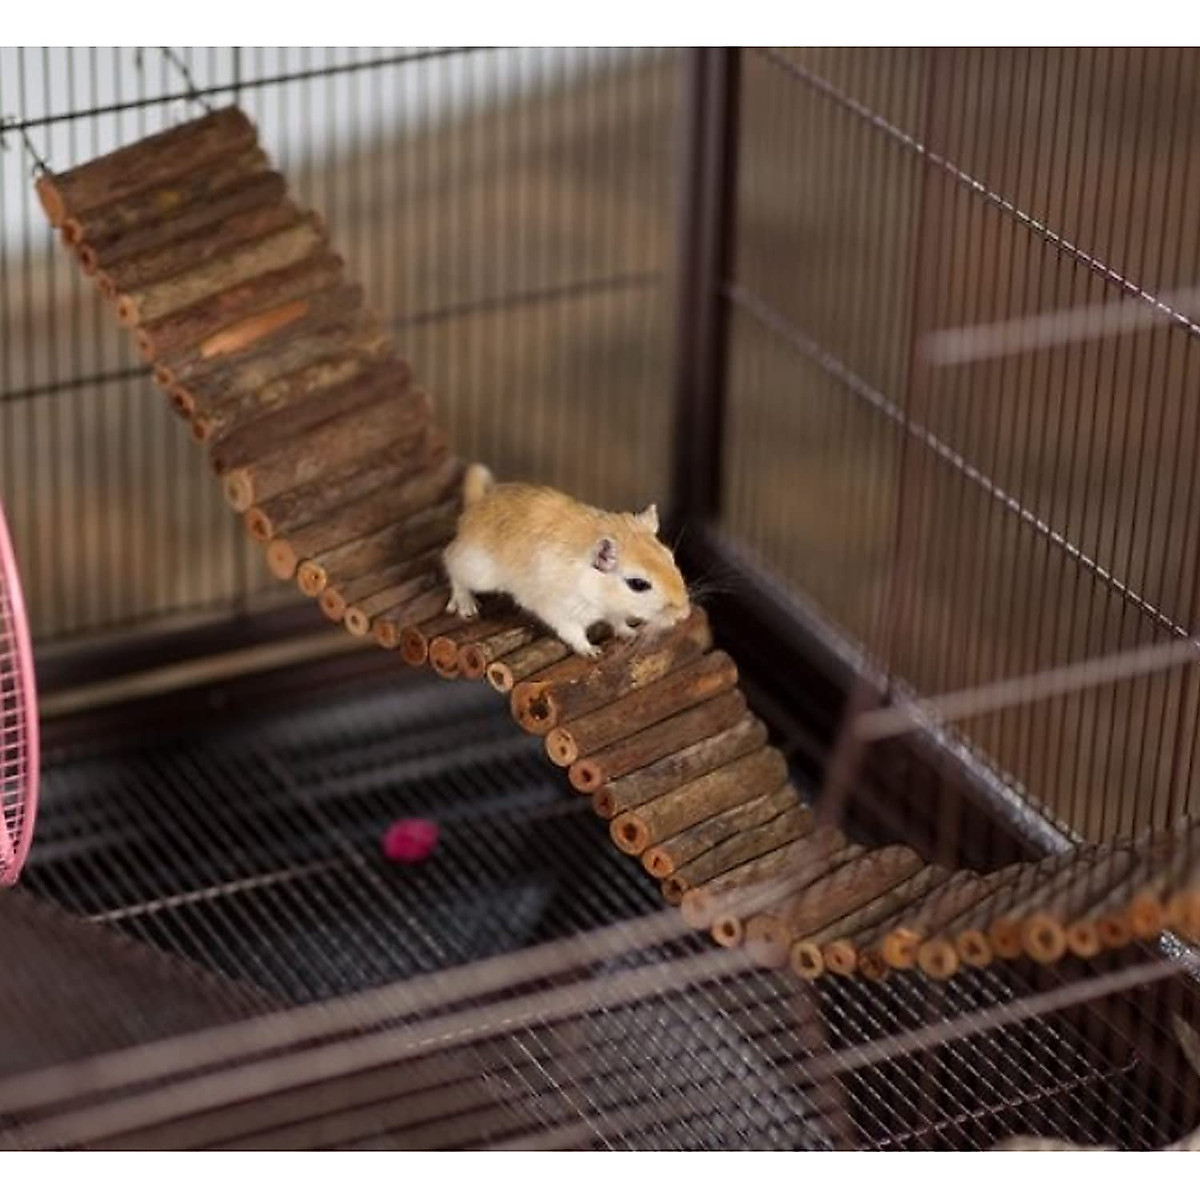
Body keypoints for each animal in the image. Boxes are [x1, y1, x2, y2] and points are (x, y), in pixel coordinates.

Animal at [442, 464, 691, 659]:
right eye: (638, 584)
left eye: (671, 559)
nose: (684, 615)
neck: (599, 593)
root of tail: (475, 505)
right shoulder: (559, 610)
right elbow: (573, 631)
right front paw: (591, 652)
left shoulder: (612, 610)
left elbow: (618, 620)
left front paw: (630, 632)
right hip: (478, 570)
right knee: (450, 562)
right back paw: (466, 606)